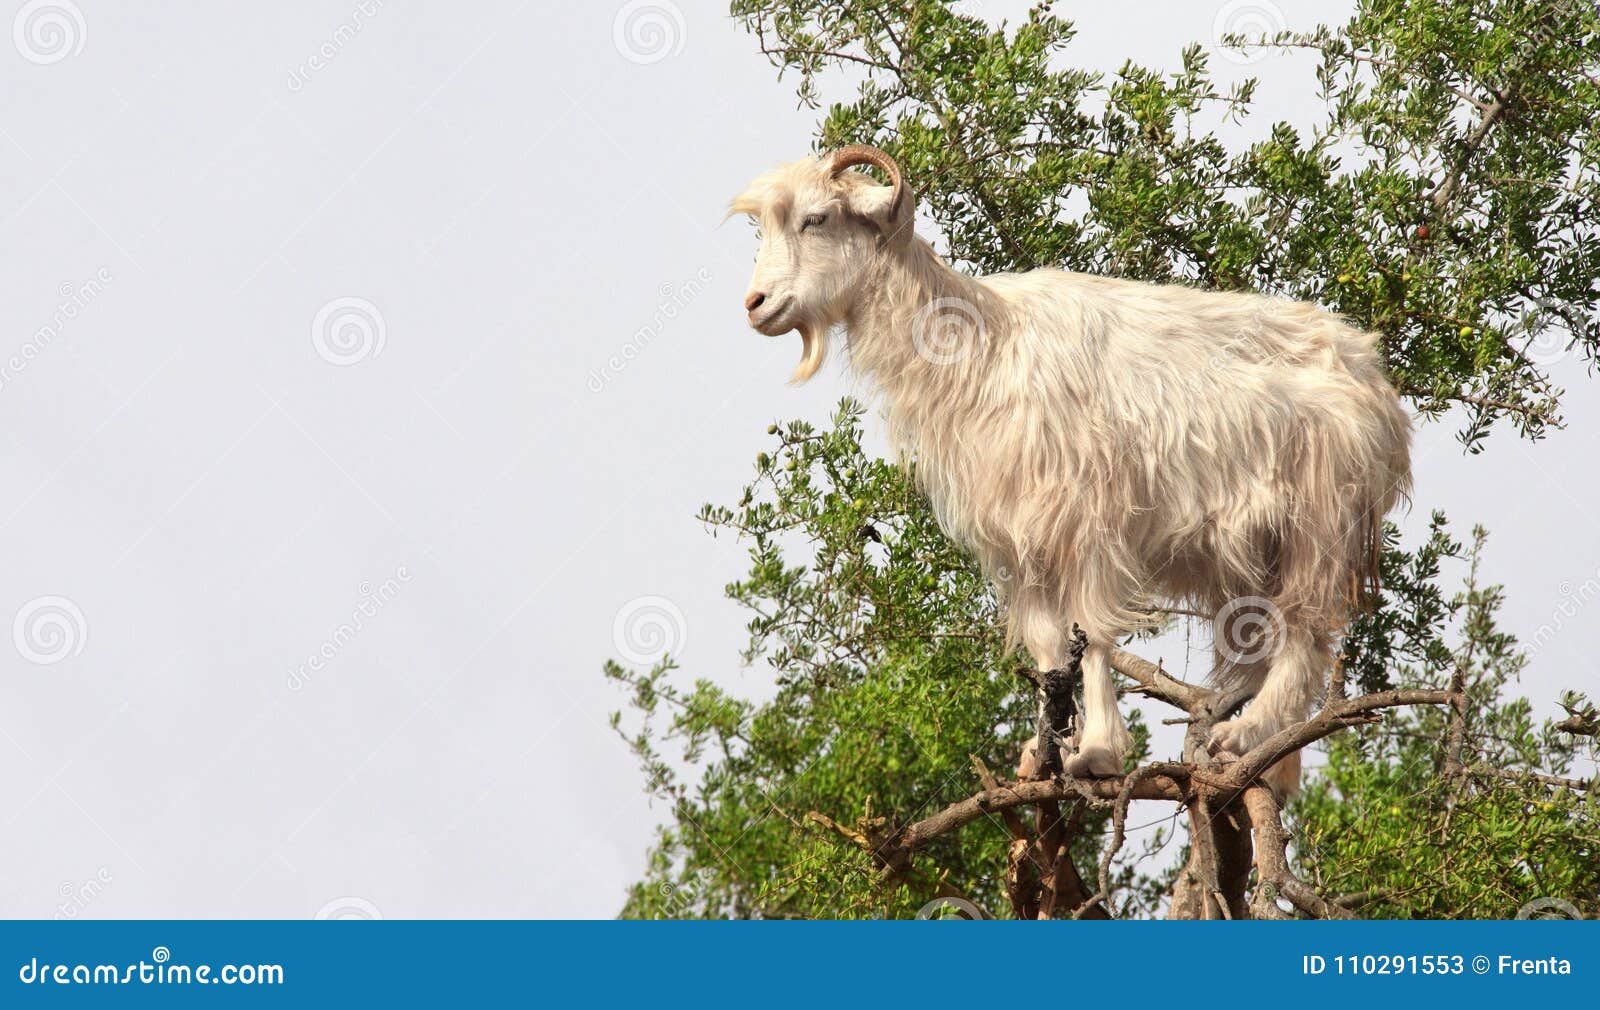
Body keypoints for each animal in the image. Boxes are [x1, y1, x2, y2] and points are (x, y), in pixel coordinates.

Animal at [730, 146, 1412, 795]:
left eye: (818, 218)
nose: (756, 304)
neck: (984, 348)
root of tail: (1371, 373)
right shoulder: (1018, 541)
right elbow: (1048, 646)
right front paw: (1040, 756)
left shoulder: (1089, 522)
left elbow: (1096, 636)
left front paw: (1098, 752)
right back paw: (1261, 753)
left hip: (1319, 524)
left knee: (1304, 633)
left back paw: (1244, 736)